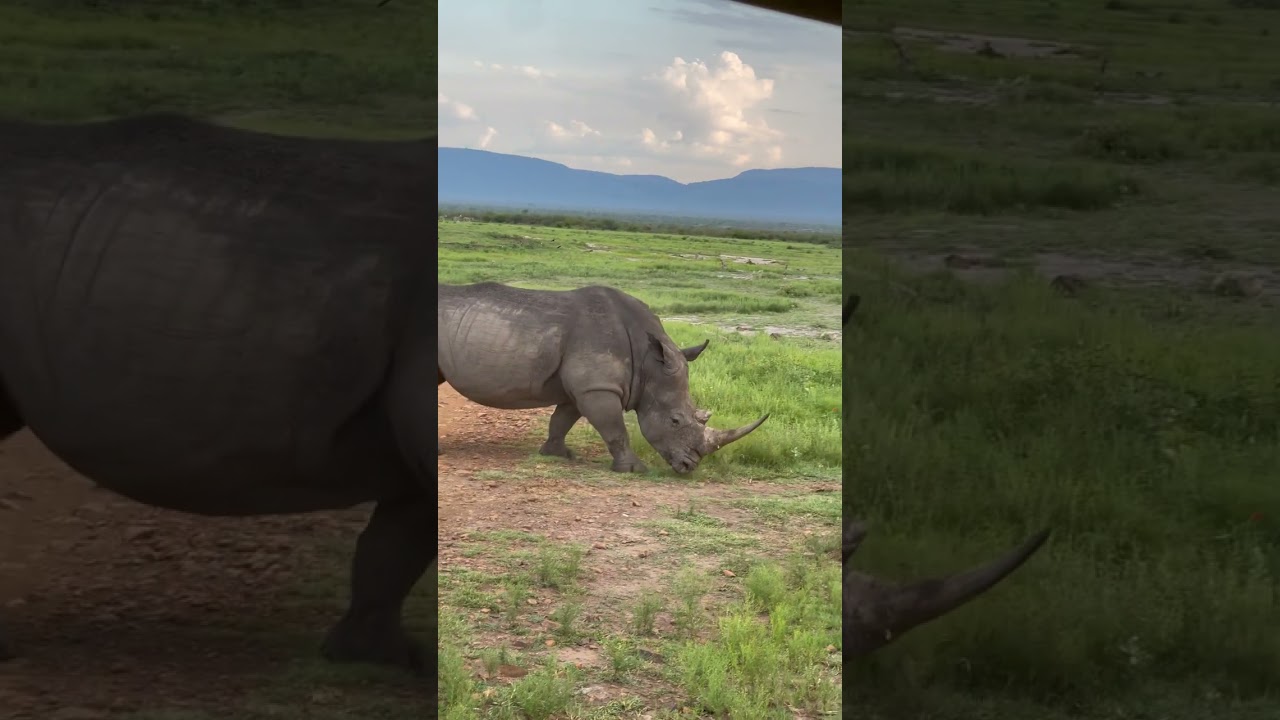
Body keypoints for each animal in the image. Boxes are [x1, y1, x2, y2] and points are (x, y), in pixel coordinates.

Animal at [437, 282, 768, 474]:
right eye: (675, 420)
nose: (690, 466)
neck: (649, 363)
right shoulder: (598, 387)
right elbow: (615, 428)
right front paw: (633, 470)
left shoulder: (584, 388)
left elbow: (562, 419)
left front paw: (558, 455)